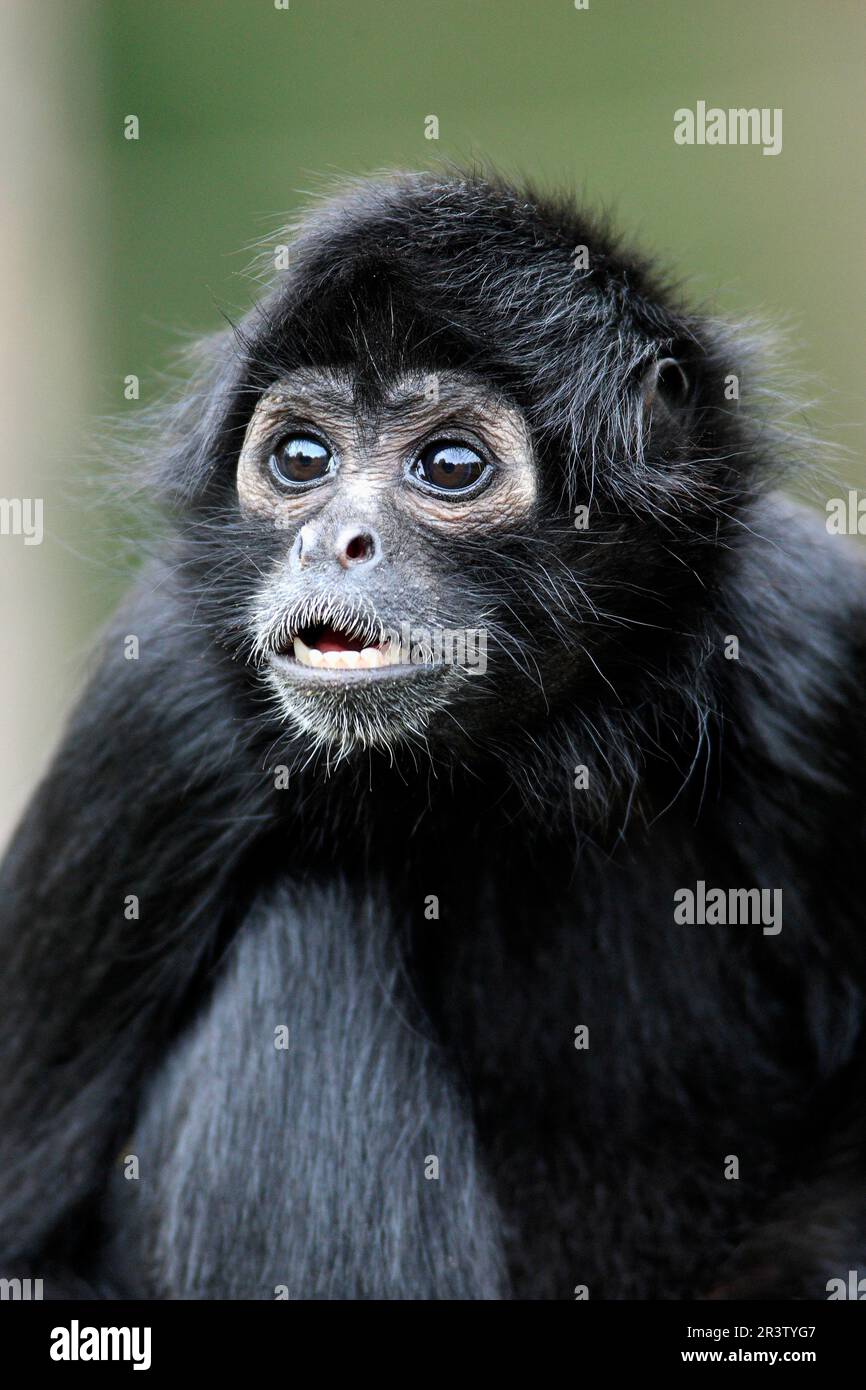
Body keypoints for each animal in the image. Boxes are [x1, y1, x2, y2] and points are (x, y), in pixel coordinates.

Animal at [1, 168, 865, 1301]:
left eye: (448, 464)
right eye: (302, 458)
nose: (334, 541)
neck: (507, 769)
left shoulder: (809, 643)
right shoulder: (157, 720)